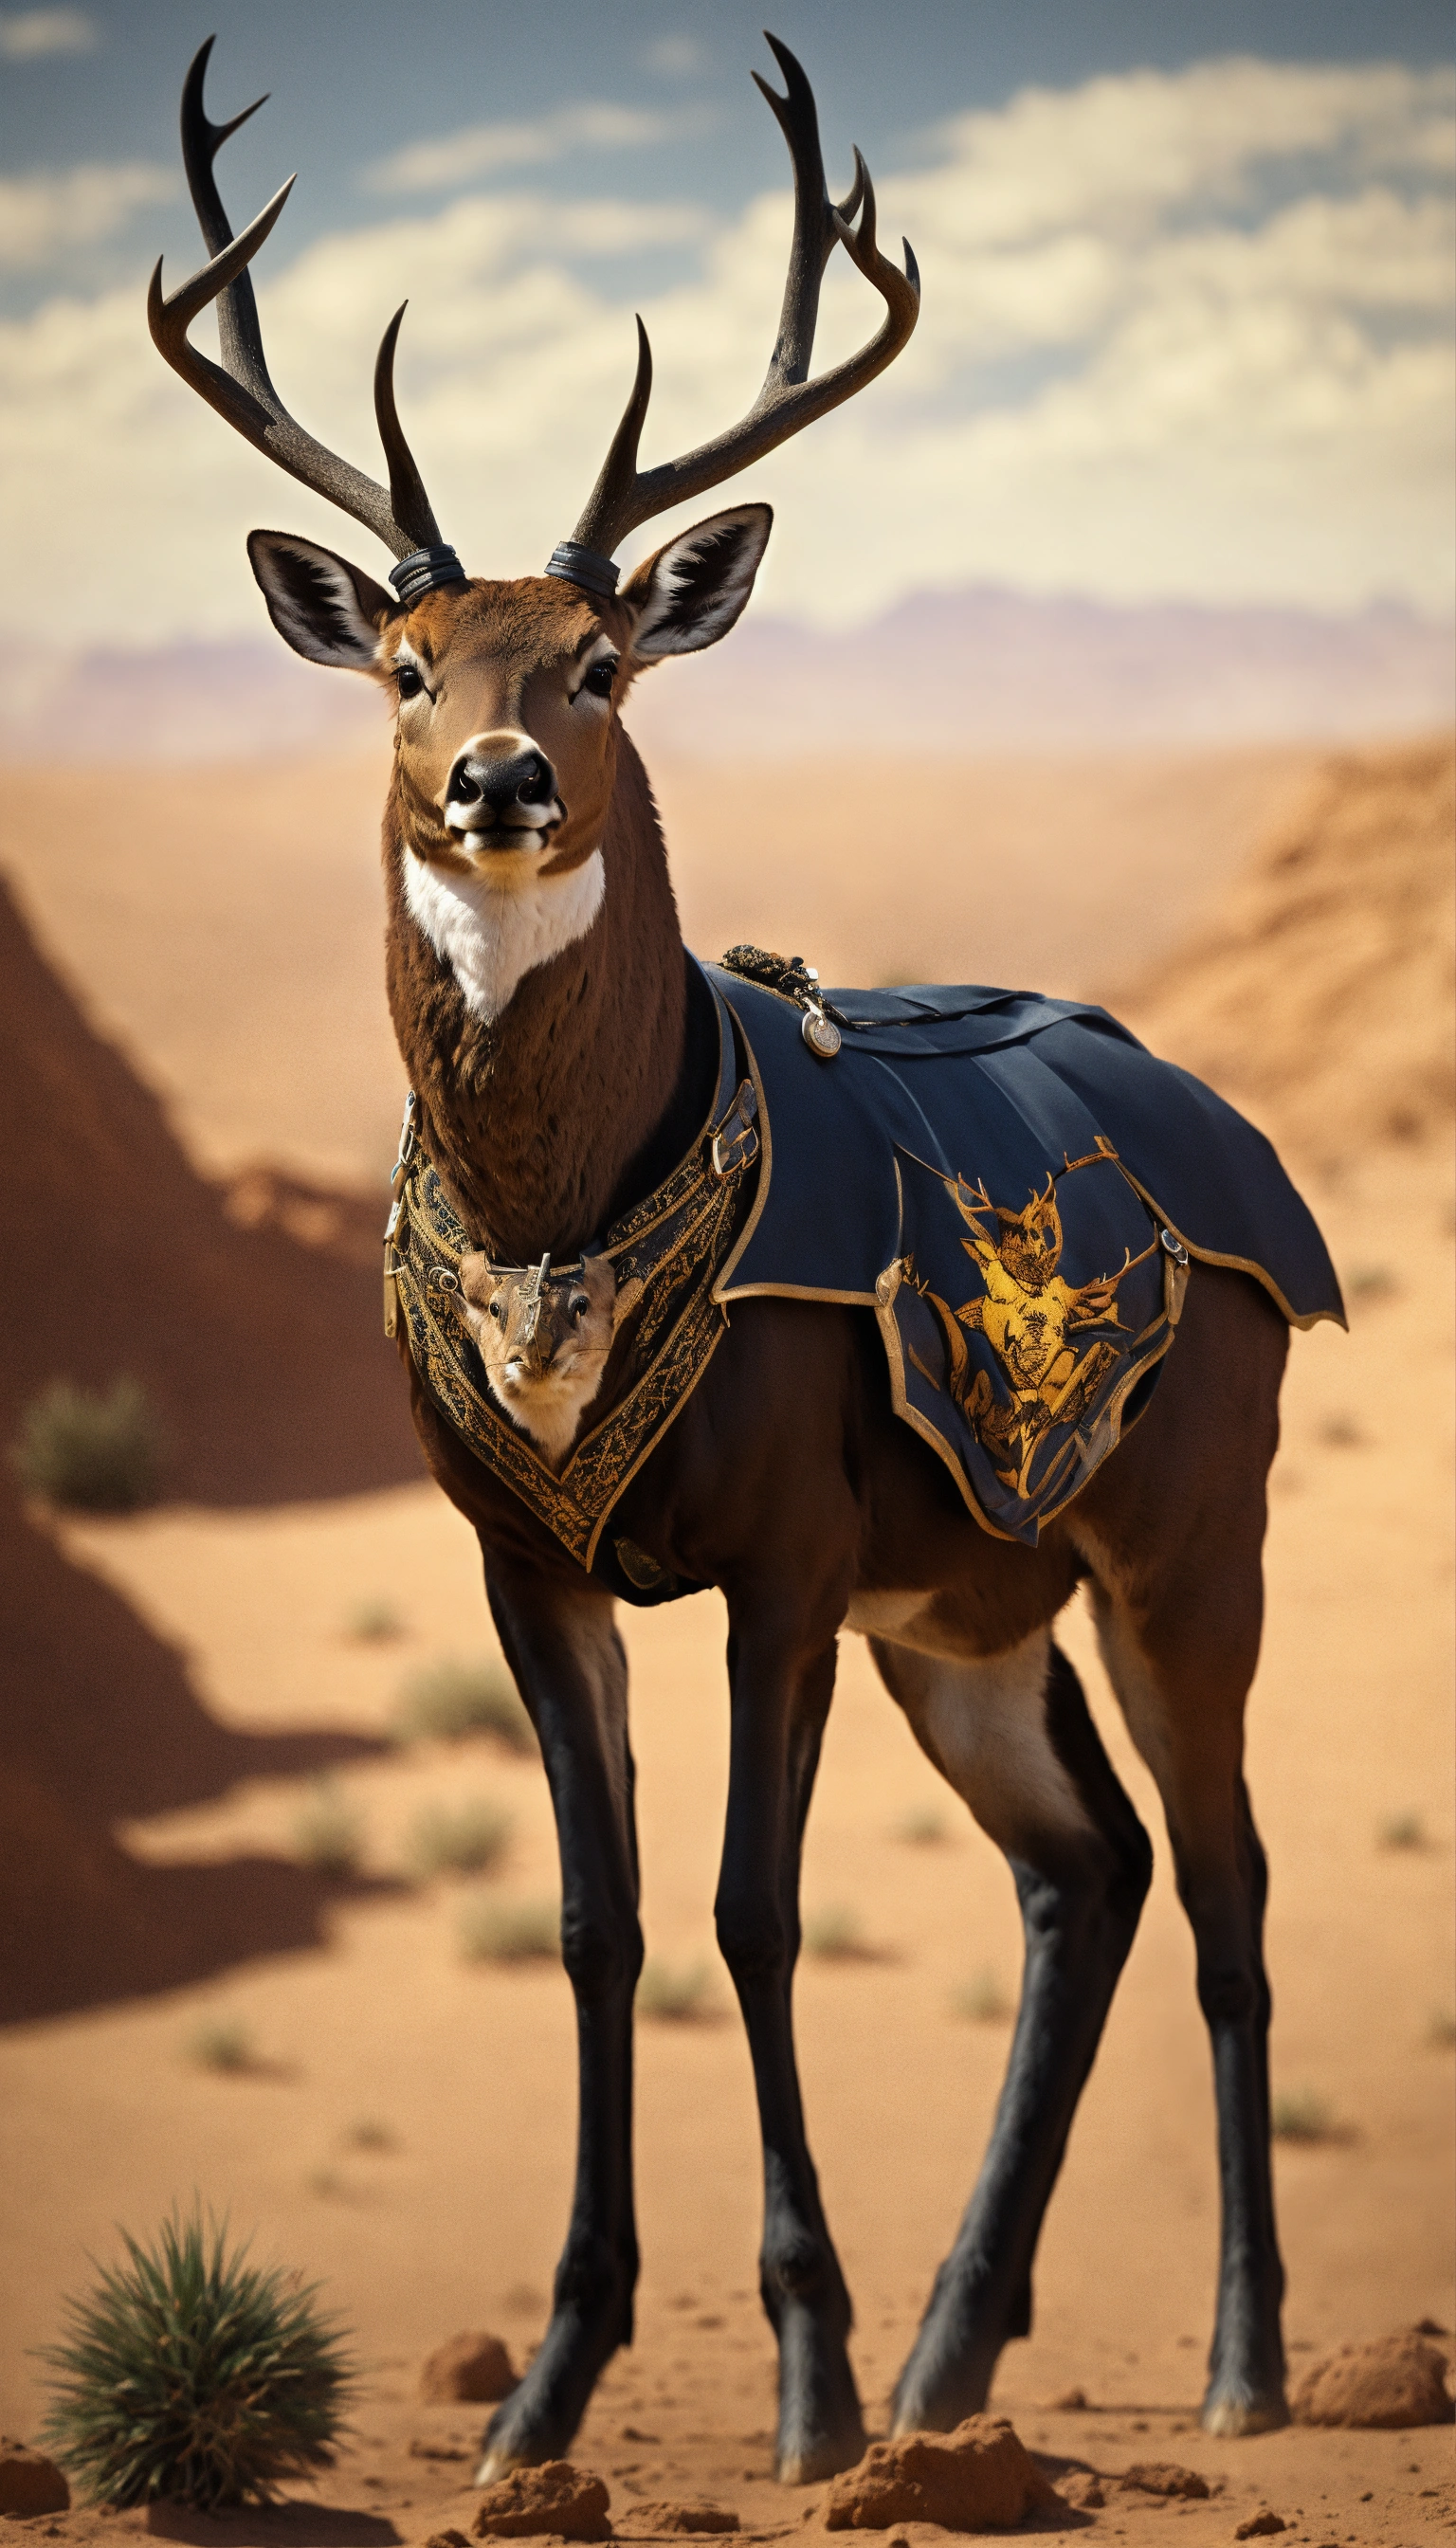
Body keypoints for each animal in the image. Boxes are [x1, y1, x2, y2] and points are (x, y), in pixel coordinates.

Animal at [149, 31, 1327, 2490]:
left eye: (602, 659)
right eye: (401, 661)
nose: (499, 778)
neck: (569, 1220)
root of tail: (1217, 1128)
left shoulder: (782, 1553)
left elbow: (750, 1913)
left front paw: (798, 2379)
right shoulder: (531, 1560)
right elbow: (600, 1925)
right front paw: (550, 2391)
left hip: (1187, 1537)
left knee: (1228, 1888)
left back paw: (1235, 2364)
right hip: (969, 1607)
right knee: (1083, 1868)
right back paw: (956, 2364)